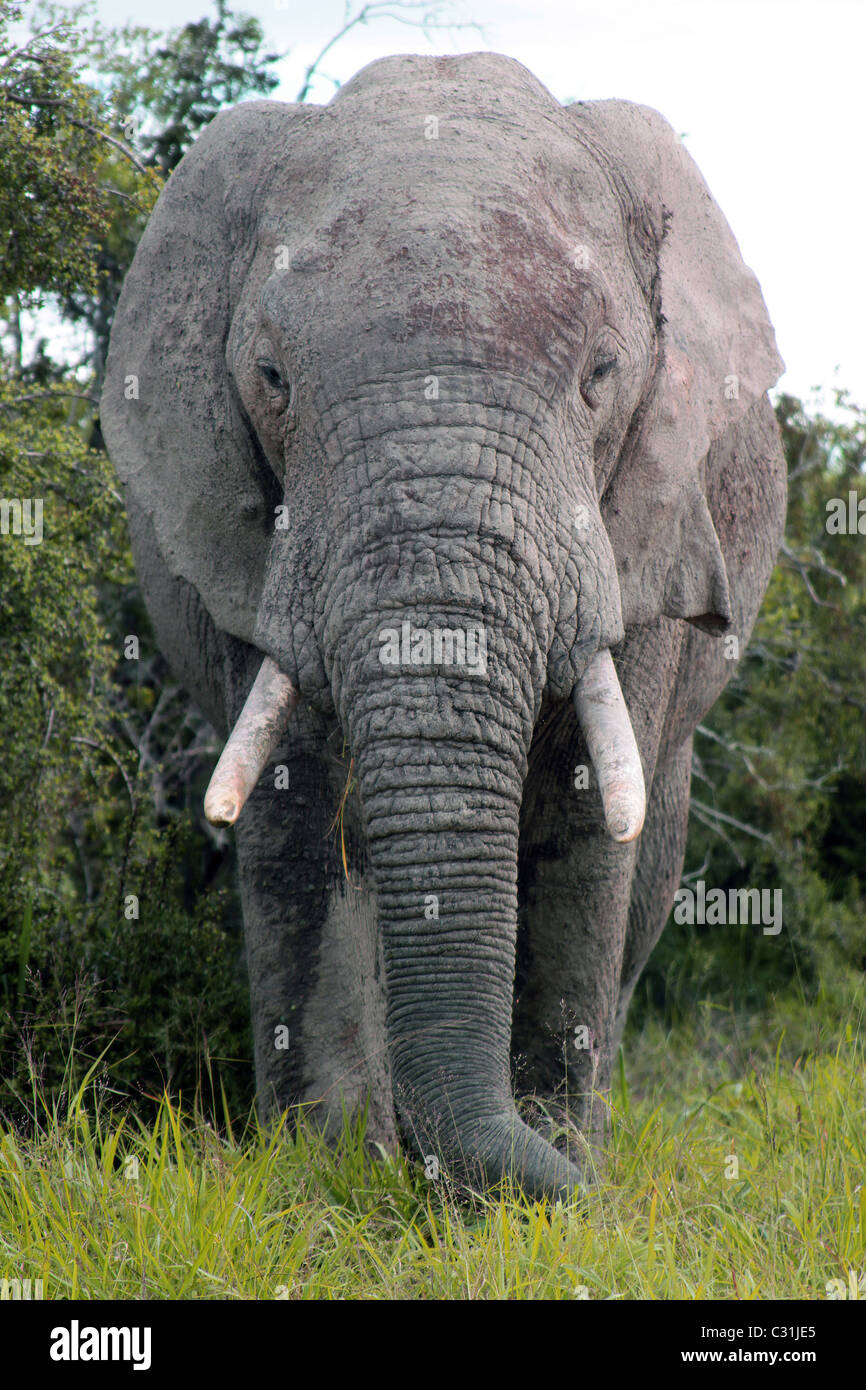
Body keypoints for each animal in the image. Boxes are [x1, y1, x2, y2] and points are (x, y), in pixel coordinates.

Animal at [100, 51, 786, 1201]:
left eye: (601, 374)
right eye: (271, 379)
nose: (597, 1198)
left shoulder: (640, 513)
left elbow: (581, 820)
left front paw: (554, 1168)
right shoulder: (259, 538)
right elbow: (293, 806)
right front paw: (324, 1174)